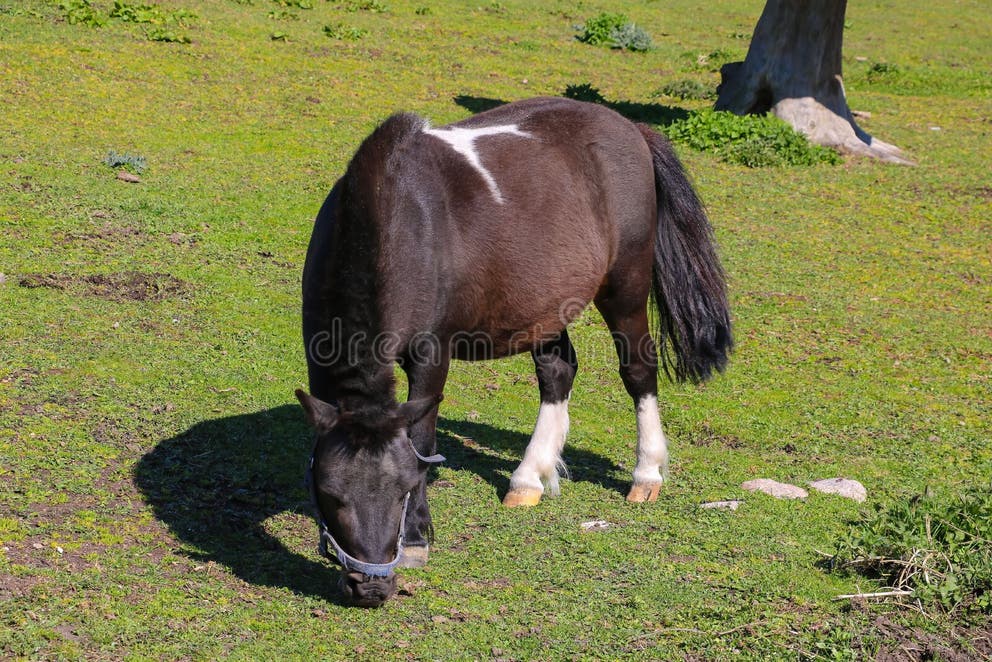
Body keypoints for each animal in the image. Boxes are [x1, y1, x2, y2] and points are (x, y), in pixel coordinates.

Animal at [296, 96, 732, 607]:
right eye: (330, 493)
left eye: (404, 490)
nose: (370, 587)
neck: (395, 222)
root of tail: (630, 129)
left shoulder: (431, 353)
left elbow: (423, 437)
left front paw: (419, 539)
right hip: (544, 309)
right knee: (559, 373)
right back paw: (529, 478)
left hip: (624, 288)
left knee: (638, 371)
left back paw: (646, 475)